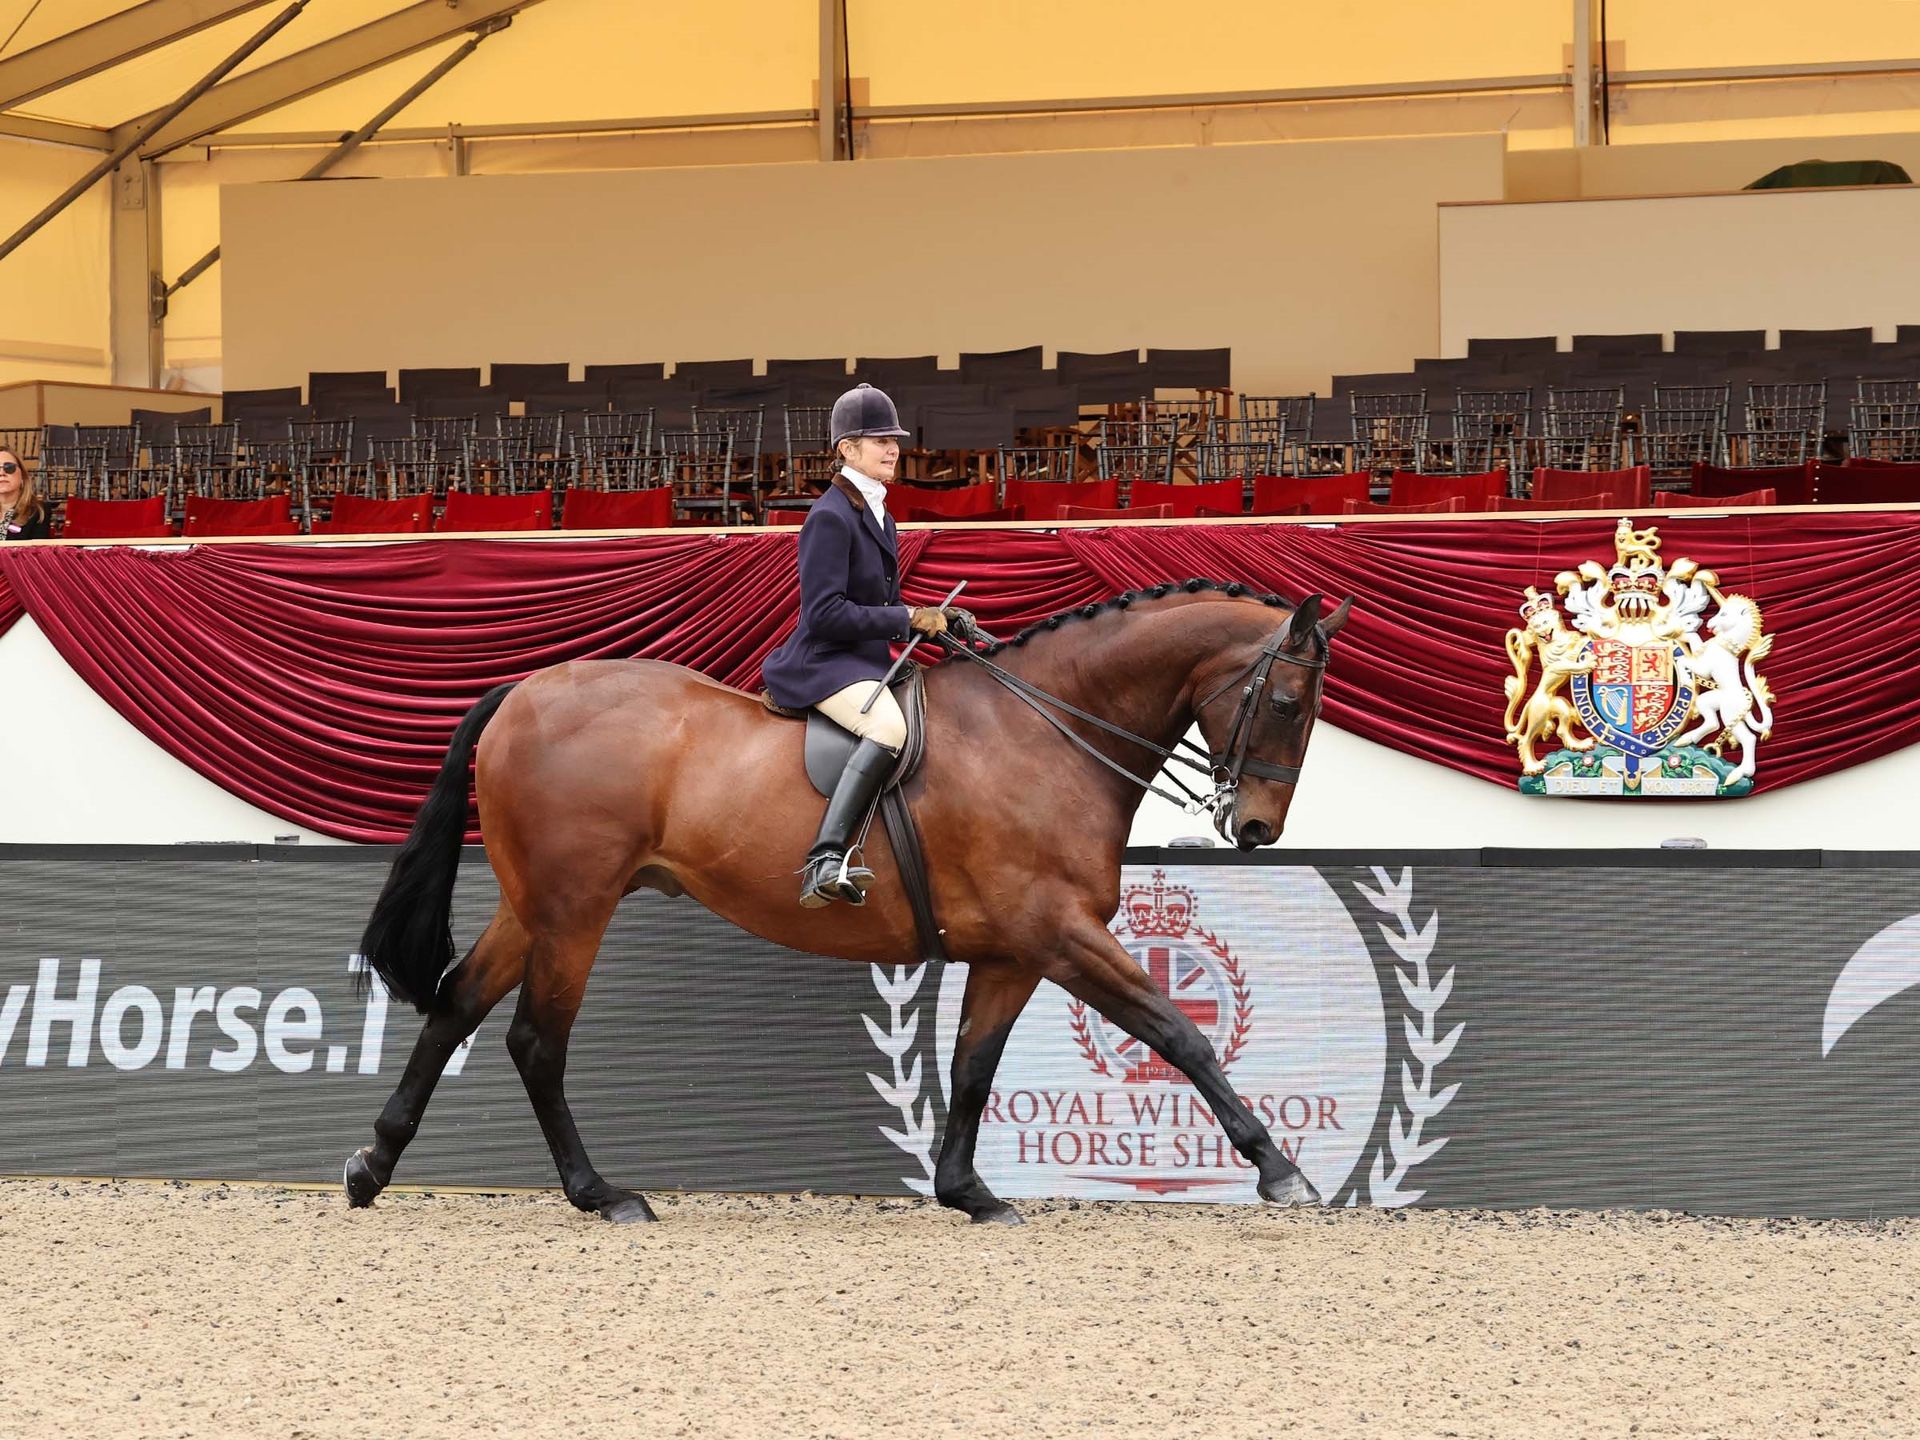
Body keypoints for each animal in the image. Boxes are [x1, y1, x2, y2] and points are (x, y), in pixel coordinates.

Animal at [344, 579, 1352, 1225]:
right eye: (1288, 702)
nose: (1255, 829)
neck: (1047, 732)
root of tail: (523, 689)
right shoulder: (1060, 934)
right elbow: (1176, 1034)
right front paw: (1281, 1171)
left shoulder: (1011, 952)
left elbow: (973, 1067)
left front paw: (967, 1193)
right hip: (575, 909)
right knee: (533, 1040)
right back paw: (602, 1195)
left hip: (537, 906)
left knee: (456, 1005)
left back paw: (371, 1167)